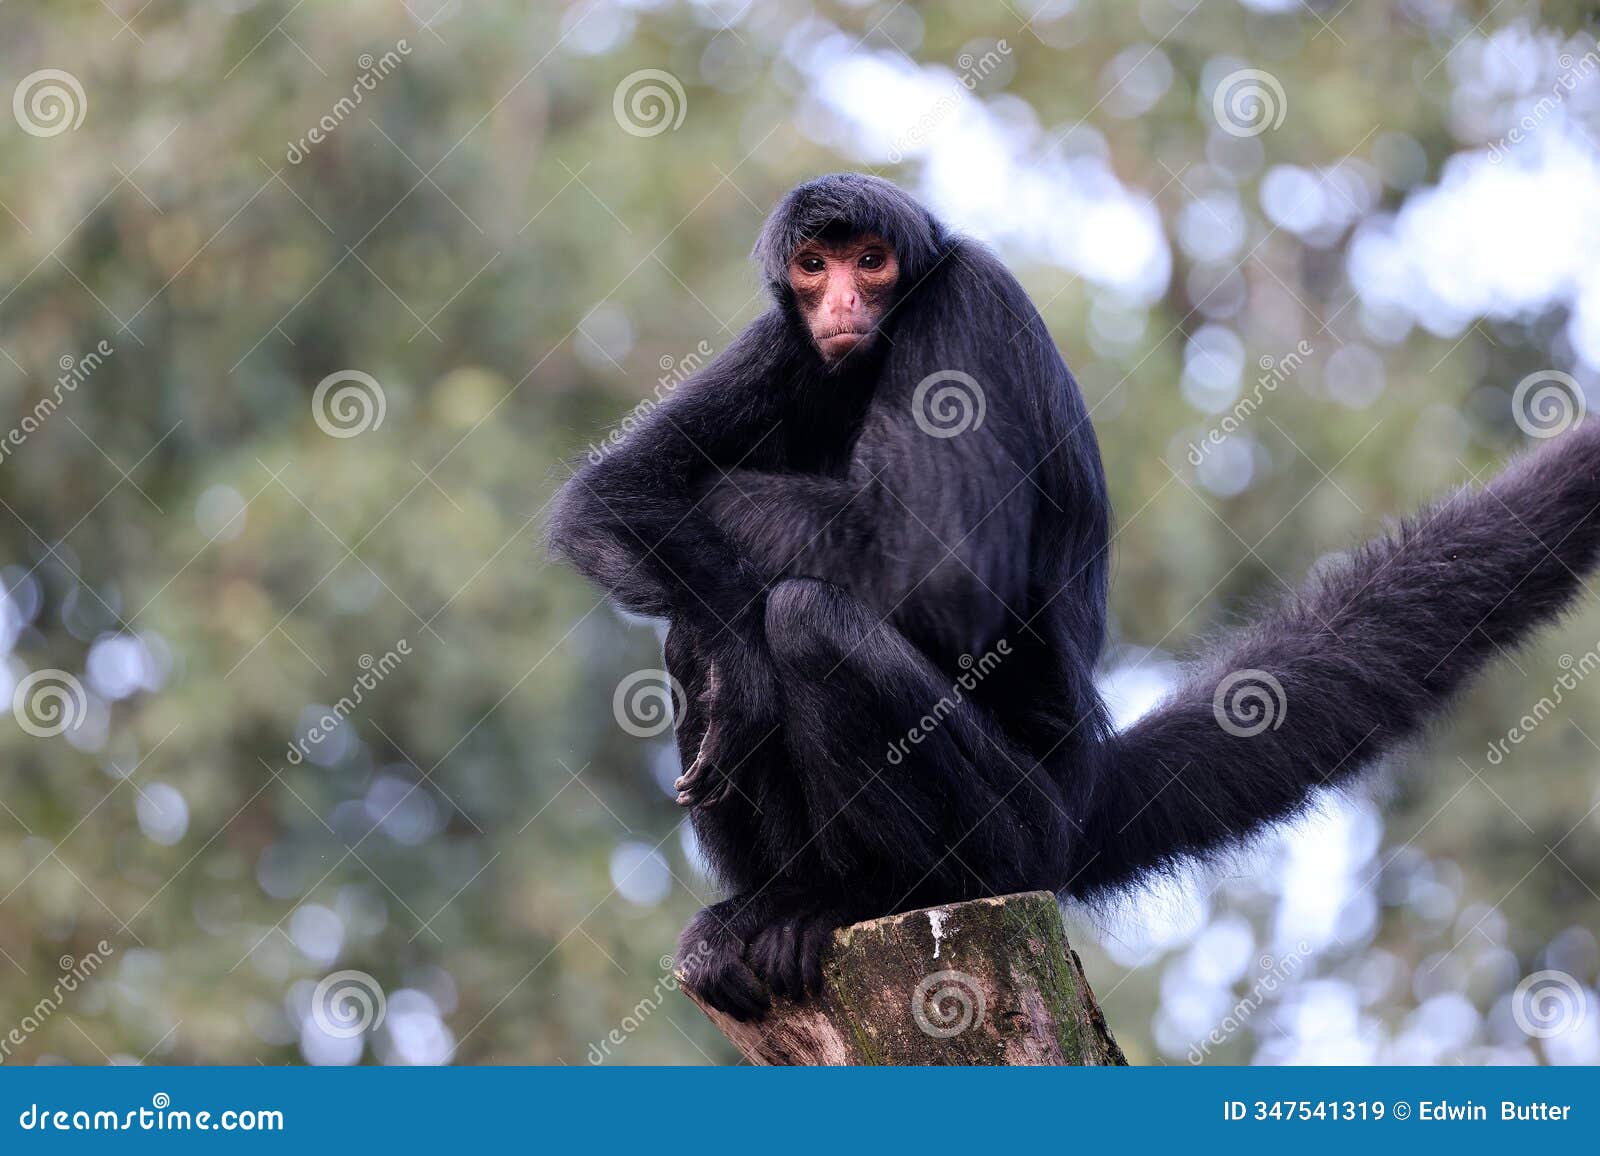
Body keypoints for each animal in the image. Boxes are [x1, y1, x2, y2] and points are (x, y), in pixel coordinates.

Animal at [548, 172, 1600, 1021]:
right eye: (814, 265)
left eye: (871, 261)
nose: (842, 296)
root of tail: (1088, 790)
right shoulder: (787, 343)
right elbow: (618, 494)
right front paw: (730, 655)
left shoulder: (965, 305)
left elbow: (939, 572)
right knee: (699, 624)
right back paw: (760, 892)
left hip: (1019, 837)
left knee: (805, 619)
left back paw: (846, 898)